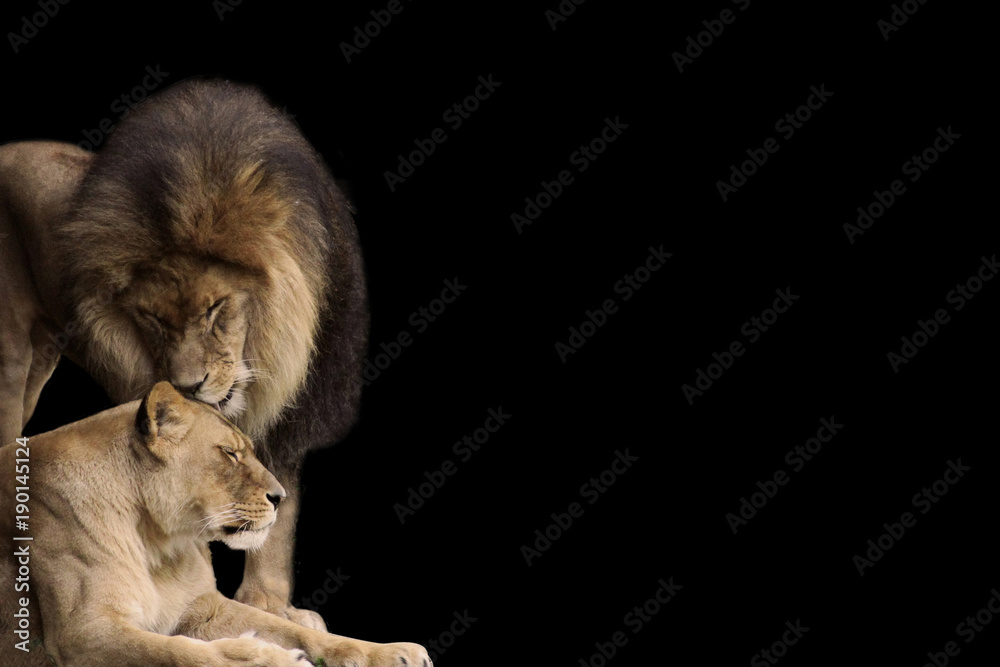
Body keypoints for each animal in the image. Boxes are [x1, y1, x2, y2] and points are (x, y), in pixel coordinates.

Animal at [0, 78, 370, 628]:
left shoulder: (292, 408)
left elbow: (279, 513)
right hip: (10, 361)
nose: (189, 385)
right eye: (151, 319)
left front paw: (269, 604)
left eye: (216, 308)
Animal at [0, 381, 429, 667]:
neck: (157, 544)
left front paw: (392, 652)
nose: (280, 497)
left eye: (249, 451)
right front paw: (265, 658)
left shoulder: (203, 608)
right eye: (229, 453)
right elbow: (175, 651)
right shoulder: (81, 633)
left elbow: (292, 628)